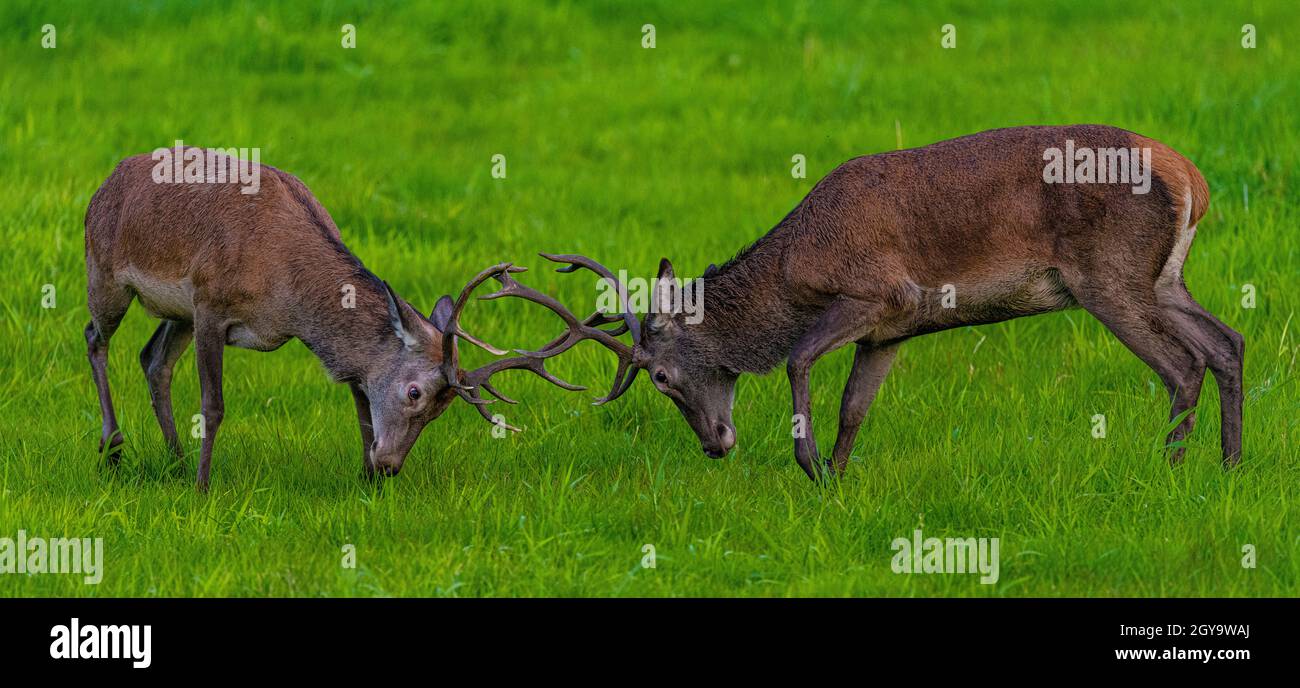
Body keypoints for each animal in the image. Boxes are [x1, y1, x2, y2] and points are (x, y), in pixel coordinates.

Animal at [84, 148, 627, 490]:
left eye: (441, 410)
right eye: (415, 393)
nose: (388, 466)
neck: (286, 294)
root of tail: (104, 183)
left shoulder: (203, 310)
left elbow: (361, 401)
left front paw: (363, 479)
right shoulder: (211, 303)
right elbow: (213, 405)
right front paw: (203, 486)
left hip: (176, 312)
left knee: (153, 359)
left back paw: (173, 461)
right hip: (106, 274)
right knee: (95, 338)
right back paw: (114, 449)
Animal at [542, 125, 1243, 481]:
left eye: (660, 376)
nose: (716, 444)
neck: (797, 269)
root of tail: (1193, 179)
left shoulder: (879, 294)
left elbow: (797, 358)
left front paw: (809, 465)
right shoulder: (891, 332)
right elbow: (855, 406)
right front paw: (837, 479)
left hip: (1110, 277)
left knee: (1183, 364)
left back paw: (1169, 470)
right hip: (1163, 279)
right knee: (1227, 342)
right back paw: (1230, 465)